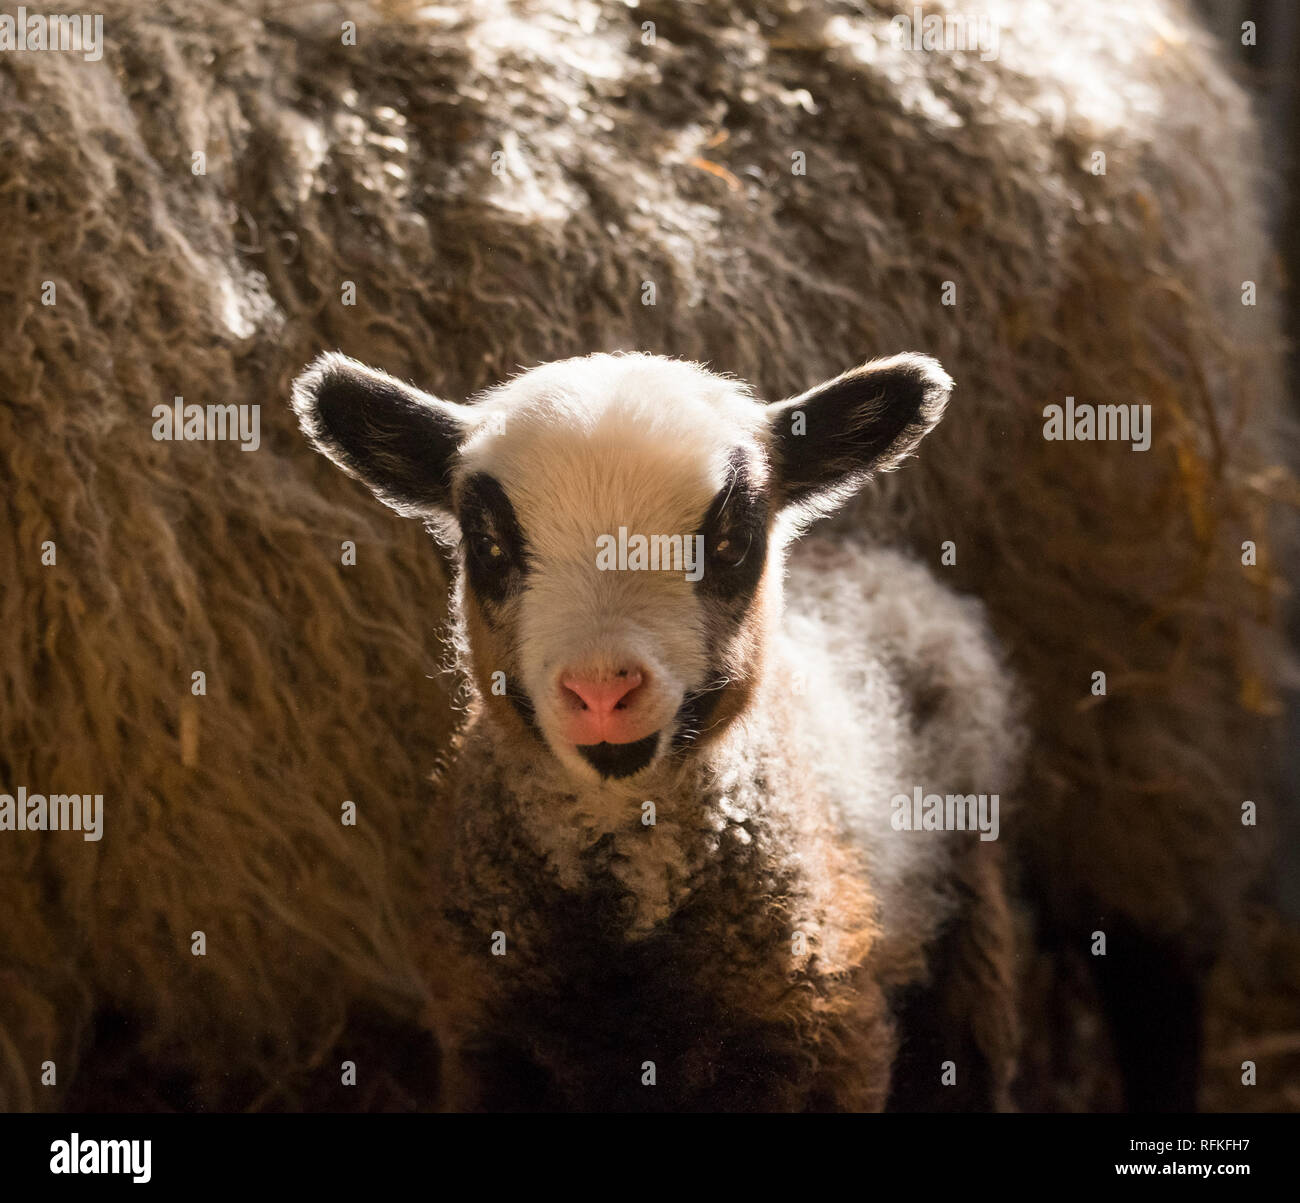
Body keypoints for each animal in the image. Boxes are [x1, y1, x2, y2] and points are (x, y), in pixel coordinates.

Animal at [291, 348, 1023, 1111]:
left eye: (732, 543)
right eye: (487, 546)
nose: (601, 690)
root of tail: (875, 558)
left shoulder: (829, 1038)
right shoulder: (483, 1037)